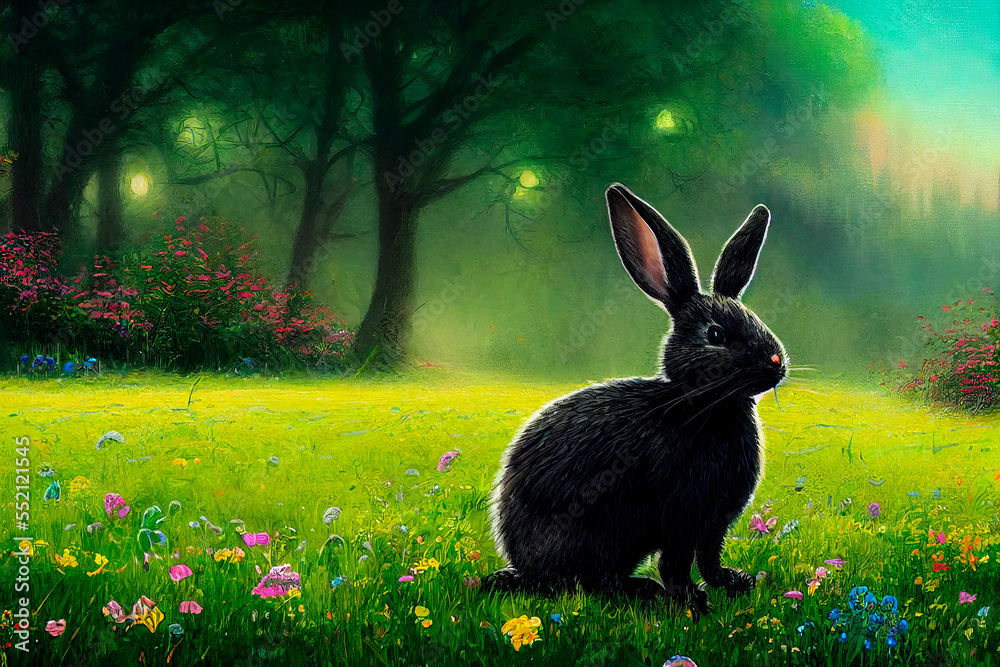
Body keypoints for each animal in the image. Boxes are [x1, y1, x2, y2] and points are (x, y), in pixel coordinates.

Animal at [484, 183, 786, 617]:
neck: (703, 406)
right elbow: (676, 562)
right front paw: (691, 604)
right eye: (716, 334)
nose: (776, 362)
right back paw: (640, 591)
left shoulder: (713, 523)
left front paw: (732, 582)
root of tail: (522, 564)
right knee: (584, 582)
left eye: (757, 321)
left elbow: (709, 558)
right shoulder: (682, 515)